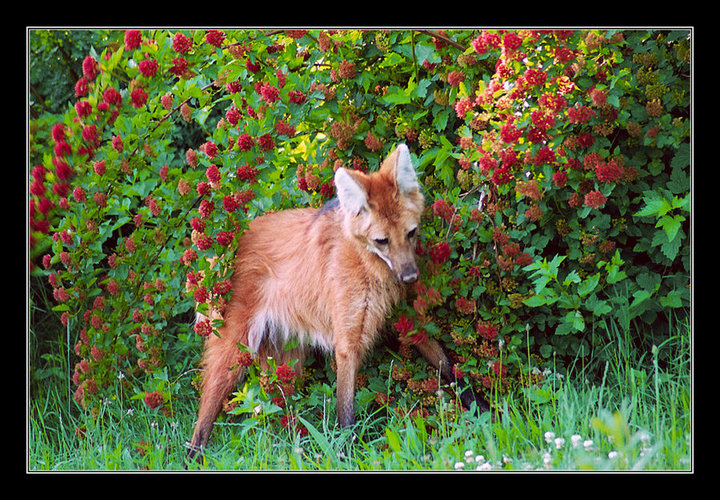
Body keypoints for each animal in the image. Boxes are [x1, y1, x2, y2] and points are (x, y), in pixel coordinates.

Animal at [186, 144, 488, 462]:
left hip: (288, 360)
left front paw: (485, 412)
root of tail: (220, 252)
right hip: (236, 349)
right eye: (381, 241)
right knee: (205, 415)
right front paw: (348, 456)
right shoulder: (347, 341)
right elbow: (346, 411)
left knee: (281, 411)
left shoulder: (407, 321)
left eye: (411, 232)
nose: (409, 277)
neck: (370, 265)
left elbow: (450, 368)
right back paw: (193, 457)